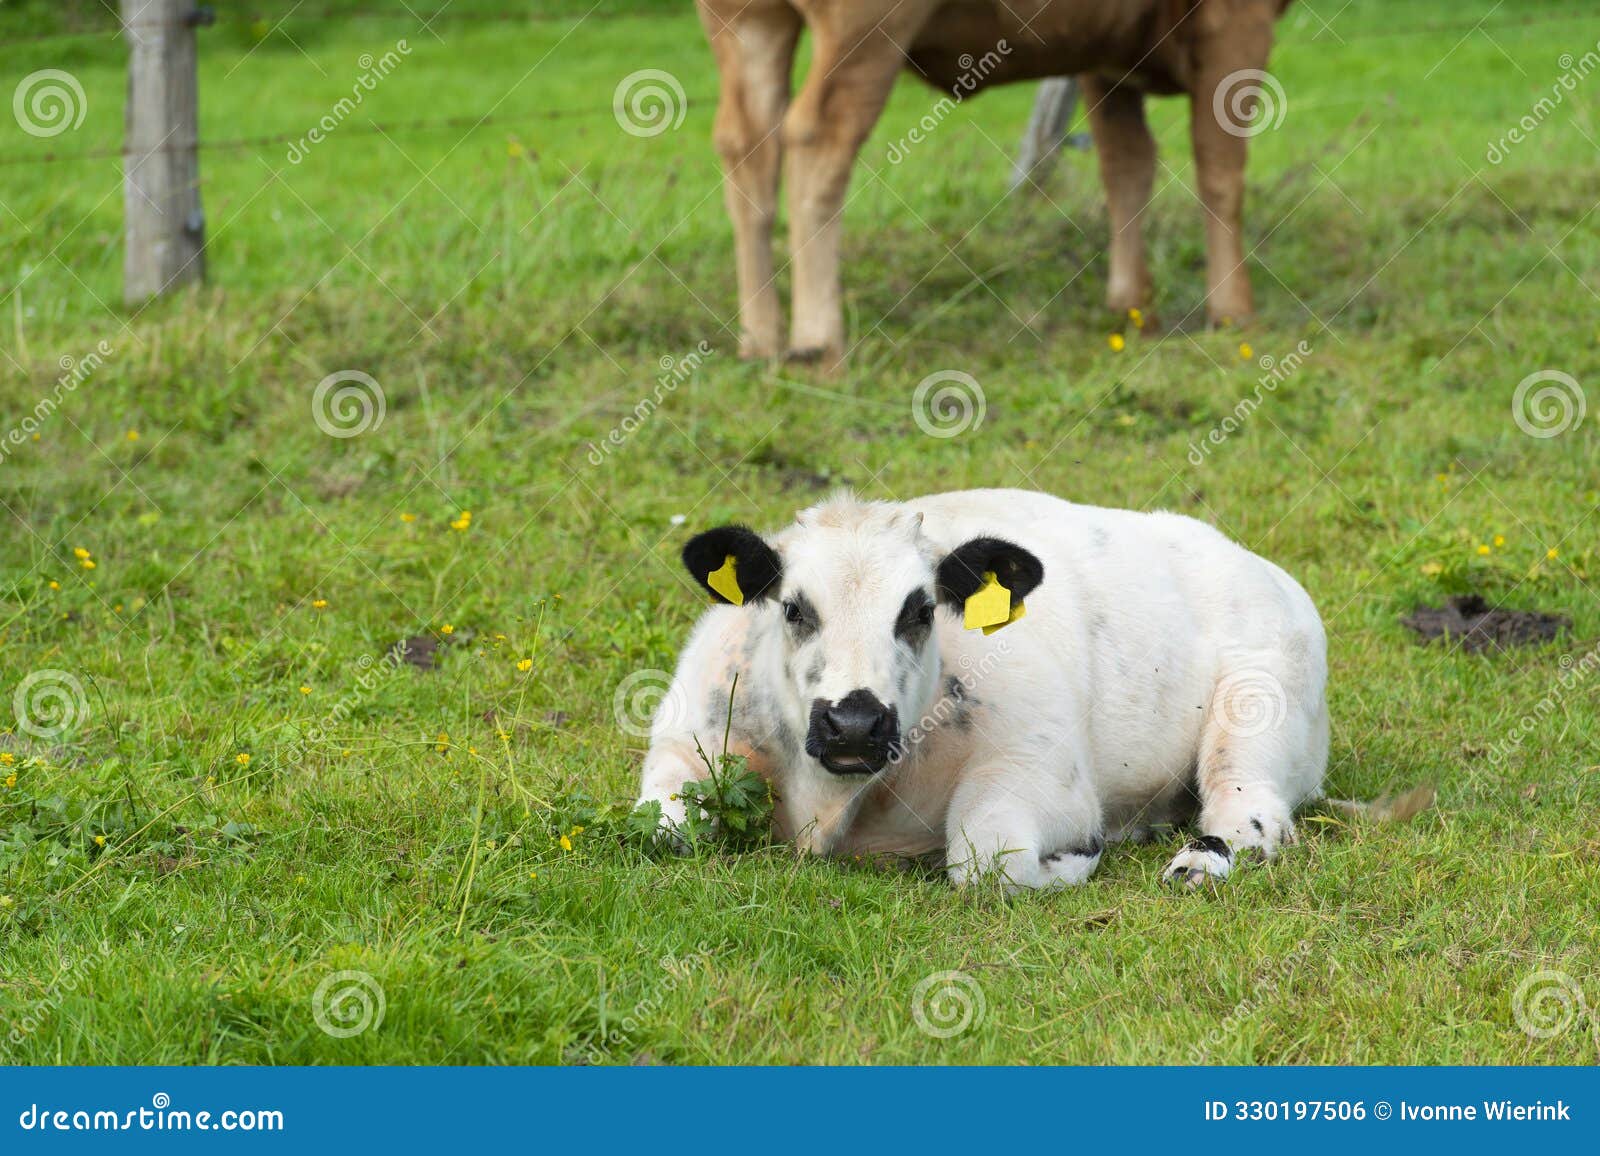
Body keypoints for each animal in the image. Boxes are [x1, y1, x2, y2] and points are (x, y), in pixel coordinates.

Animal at [636, 488, 1330, 890]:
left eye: (921, 610)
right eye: (793, 608)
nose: (854, 726)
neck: (830, 804)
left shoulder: (1045, 770)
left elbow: (988, 859)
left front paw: (1074, 859)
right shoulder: (681, 743)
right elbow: (661, 830)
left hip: (1260, 707)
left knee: (1250, 815)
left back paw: (1198, 863)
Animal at [696, 0, 1293, 369]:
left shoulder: (1105, 50)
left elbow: (1126, 166)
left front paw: (1131, 302)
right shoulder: (1236, 21)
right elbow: (1220, 171)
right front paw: (1234, 309)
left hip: (746, 23)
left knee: (746, 144)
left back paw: (760, 339)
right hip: (864, 29)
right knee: (816, 138)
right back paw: (818, 339)